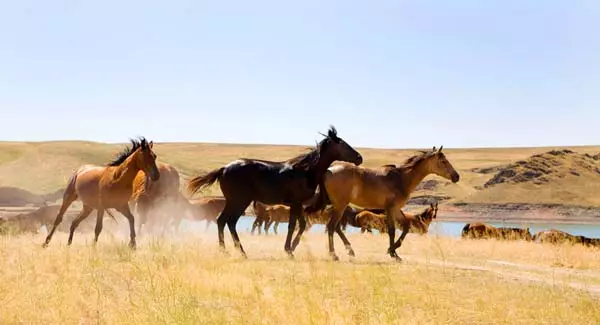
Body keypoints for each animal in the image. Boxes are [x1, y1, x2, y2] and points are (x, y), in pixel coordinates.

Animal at [185, 125, 360, 256]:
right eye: (342, 143)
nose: (359, 158)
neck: (305, 171)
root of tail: (223, 169)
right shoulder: (296, 203)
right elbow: (293, 225)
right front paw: (289, 250)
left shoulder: (298, 204)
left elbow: (301, 224)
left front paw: (292, 247)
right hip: (239, 201)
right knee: (228, 221)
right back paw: (239, 251)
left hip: (233, 201)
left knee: (223, 221)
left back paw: (228, 251)